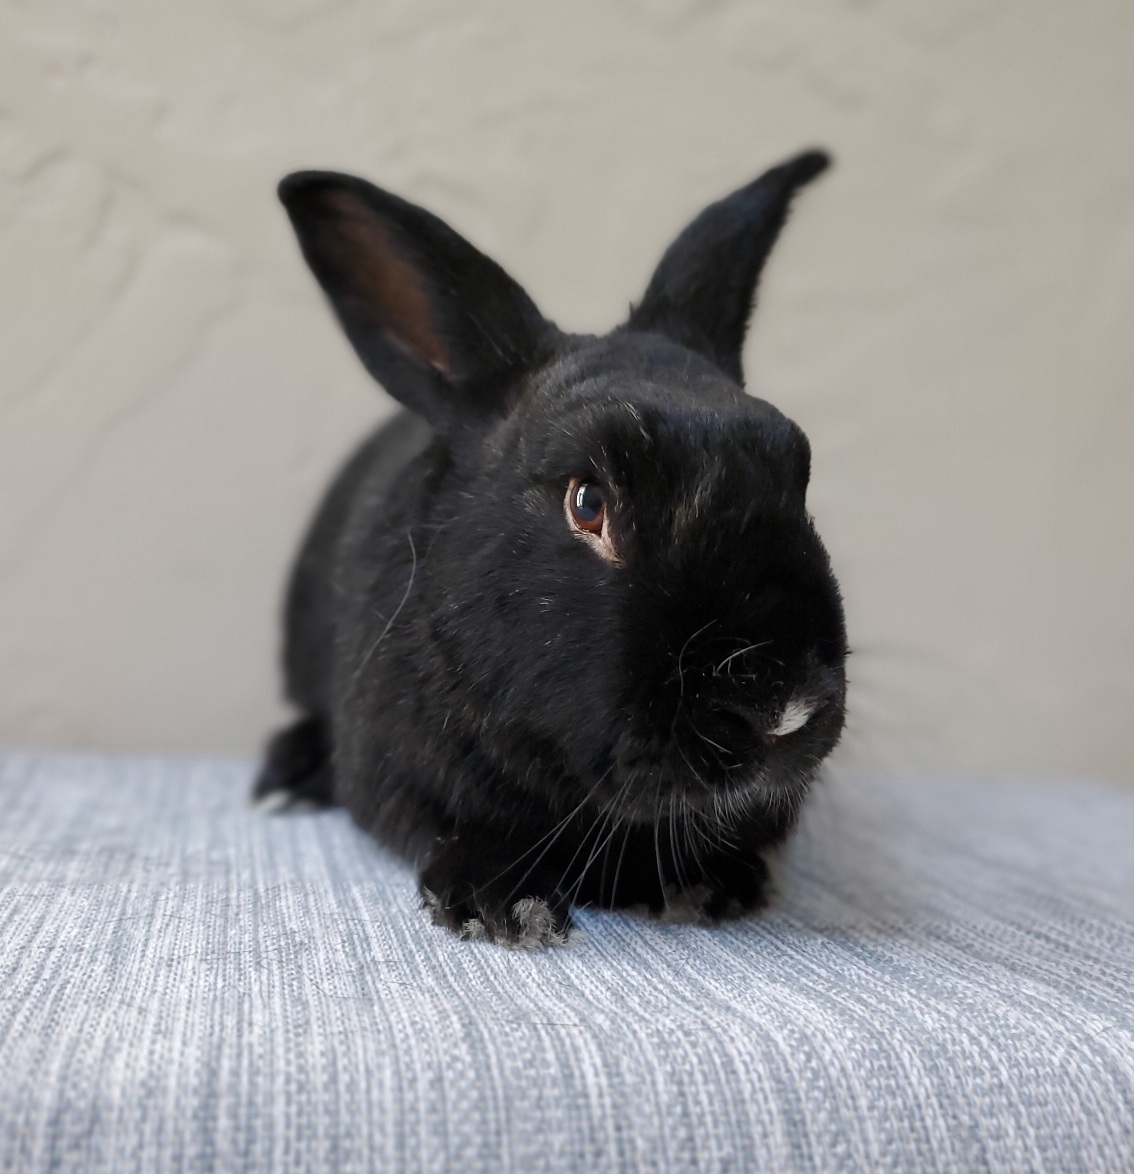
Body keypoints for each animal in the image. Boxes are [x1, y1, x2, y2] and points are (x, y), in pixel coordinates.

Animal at [255, 150, 848, 948]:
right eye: (588, 503)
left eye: (797, 473)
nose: (782, 710)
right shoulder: (394, 776)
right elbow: (447, 830)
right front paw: (505, 904)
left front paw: (711, 884)